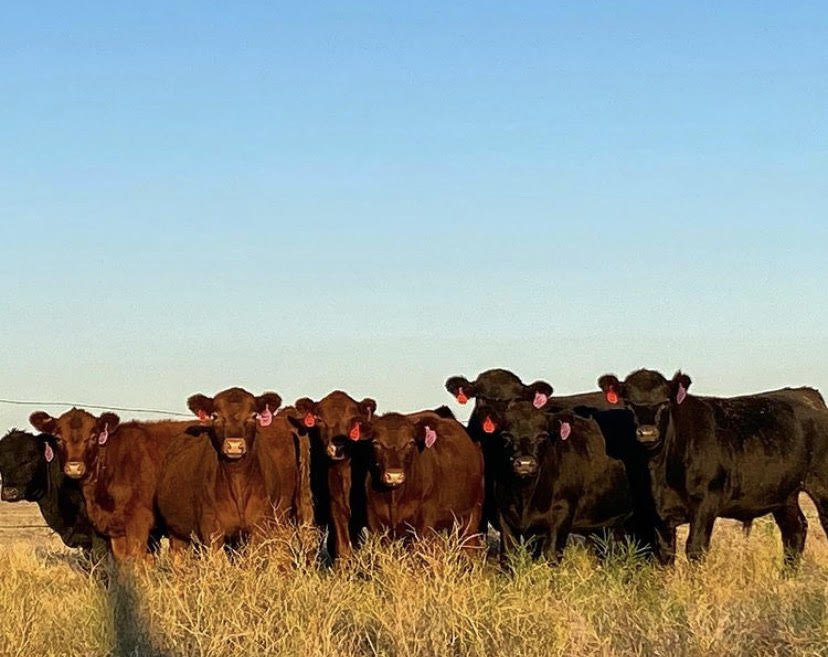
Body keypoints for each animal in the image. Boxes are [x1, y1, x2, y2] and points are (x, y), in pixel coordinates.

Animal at [156, 388, 310, 552]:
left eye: (253, 415)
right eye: (215, 416)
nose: (234, 445)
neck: (238, 481)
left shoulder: (260, 525)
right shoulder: (211, 528)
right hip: (177, 533)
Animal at [359, 410, 484, 547]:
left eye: (411, 442)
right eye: (376, 443)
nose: (394, 476)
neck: (394, 498)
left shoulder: (425, 521)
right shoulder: (374, 520)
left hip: (472, 513)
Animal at [476, 401, 632, 563]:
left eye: (543, 436)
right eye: (506, 436)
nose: (525, 463)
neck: (525, 498)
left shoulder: (562, 512)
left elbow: (551, 554)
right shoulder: (503, 513)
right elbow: (509, 555)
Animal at [597, 369, 828, 566]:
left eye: (665, 402)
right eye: (629, 404)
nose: (647, 433)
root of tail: (807, 394)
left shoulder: (705, 503)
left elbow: (695, 548)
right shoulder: (661, 513)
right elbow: (665, 553)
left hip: (820, 485)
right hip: (785, 494)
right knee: (794, 531)